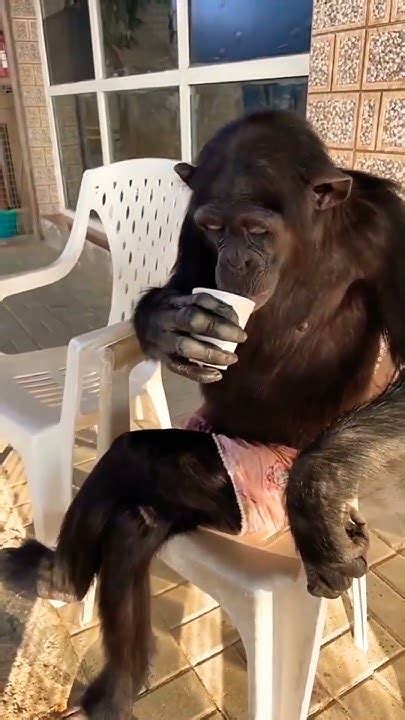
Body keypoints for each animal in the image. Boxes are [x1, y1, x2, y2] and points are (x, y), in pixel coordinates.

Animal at [1, 110, 404, 719]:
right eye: (215, 227)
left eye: (256, 229)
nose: (234, 259)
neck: (311, 240)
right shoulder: (191, 228)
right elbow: (176, 289)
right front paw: (174, 327)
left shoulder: (390, 230)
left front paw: (318, 505)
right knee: (134, 511)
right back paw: (71, 600)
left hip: (252, 491)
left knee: (140, 462)